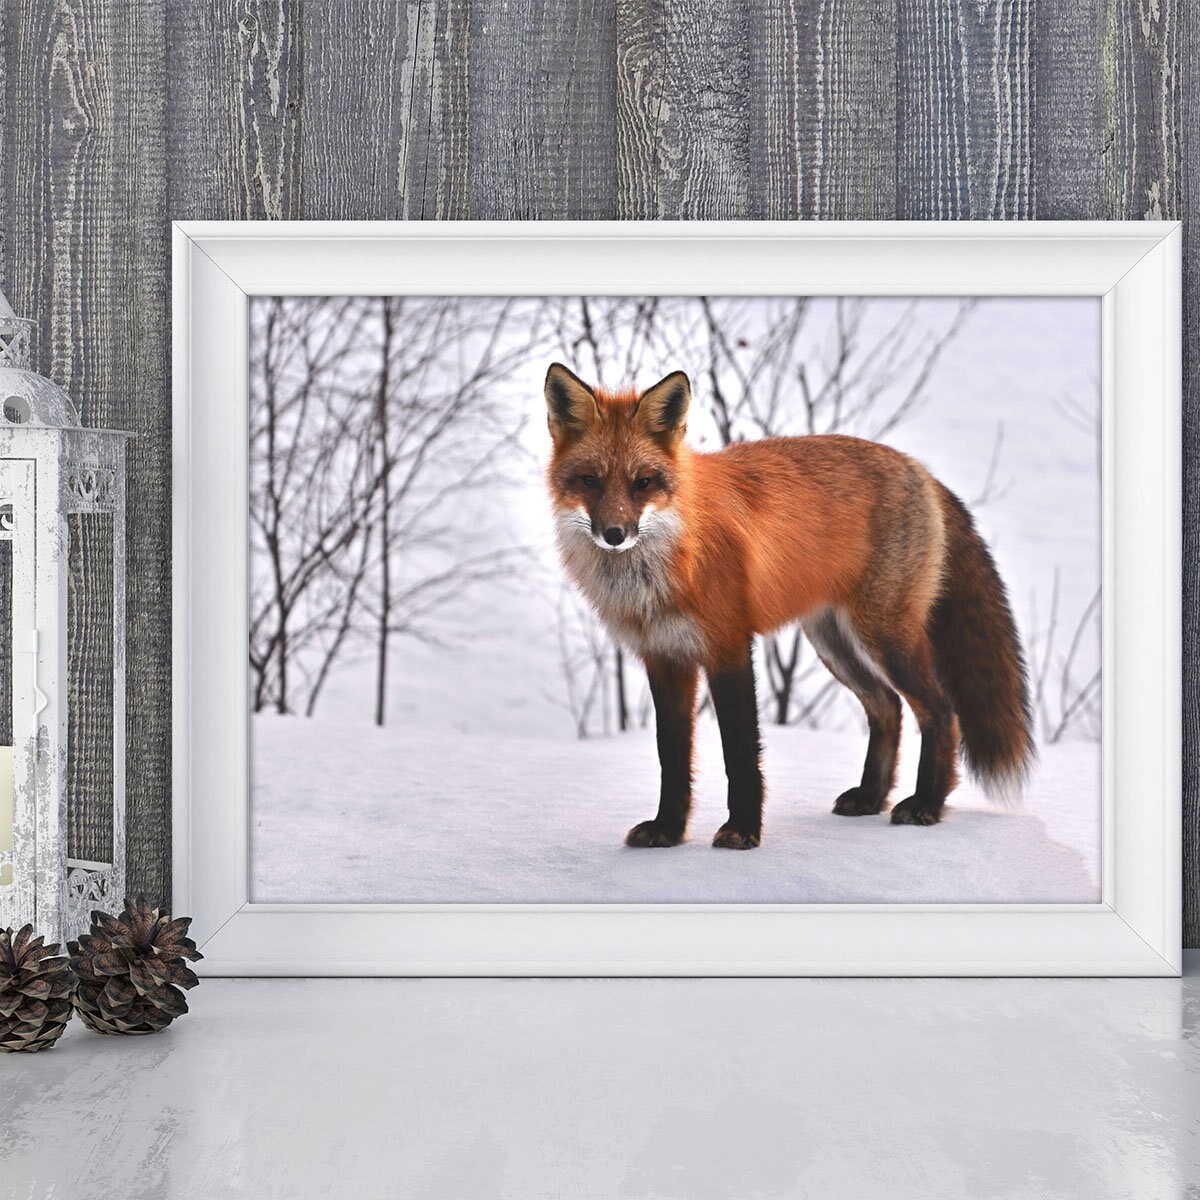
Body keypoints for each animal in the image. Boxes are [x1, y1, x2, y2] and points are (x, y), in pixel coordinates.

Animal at [544, 362, 1035, 850]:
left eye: (642, 483)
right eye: (590, 481)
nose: (614, 534)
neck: (668, 561)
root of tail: (920, 469)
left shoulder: (728, 647)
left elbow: (740, 753)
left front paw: (742, 830)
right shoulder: (664, 658)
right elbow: (673, 758)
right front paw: (668, 829)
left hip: (884, 638)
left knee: (941, 711)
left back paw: (927, 804)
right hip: (834, 643)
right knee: (888, 708)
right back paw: (871, 797)